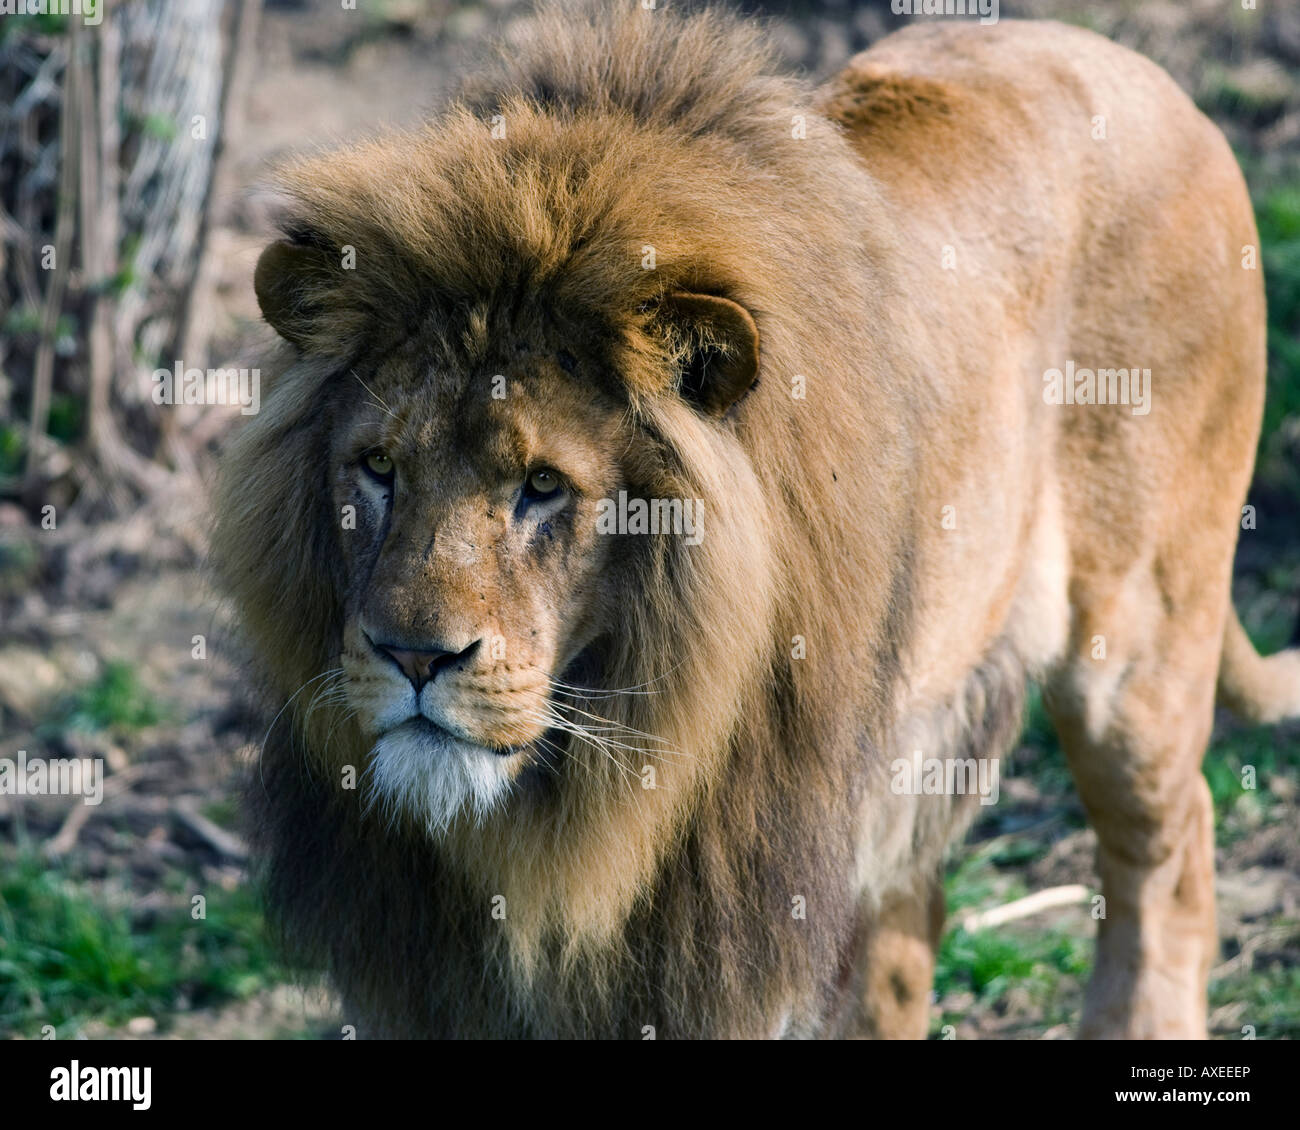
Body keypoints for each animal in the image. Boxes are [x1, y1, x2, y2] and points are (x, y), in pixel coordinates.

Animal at [212, 4, 1300, 1038]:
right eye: (378, 469)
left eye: (543, 485)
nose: (412, 656)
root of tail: (1148, 74)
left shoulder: (724, 930)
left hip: (1139, 640)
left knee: (1171, 846)